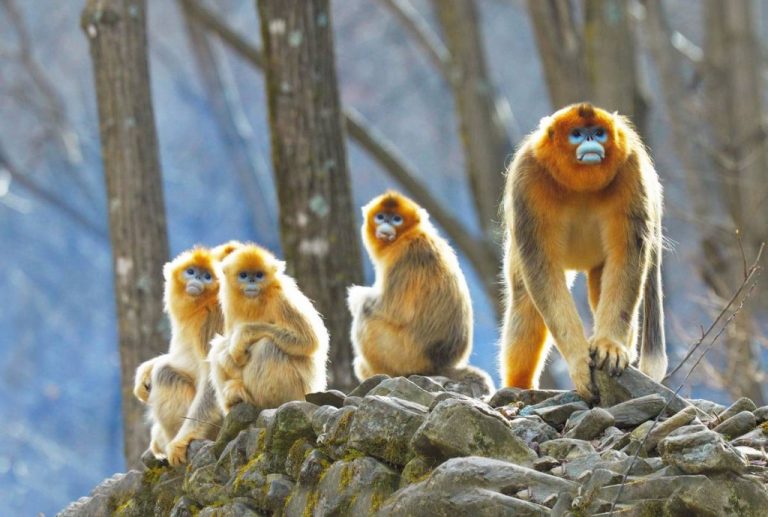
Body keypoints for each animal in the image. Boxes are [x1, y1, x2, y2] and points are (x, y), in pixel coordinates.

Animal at [209, 243, 328, 414]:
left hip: (296, 390)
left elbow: (310, 341)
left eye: (259, 275)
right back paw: (233, 400)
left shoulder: (281, 297)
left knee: (267, 346)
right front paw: (229, 357)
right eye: (244, 275)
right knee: (217, 348)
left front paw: (240, 340)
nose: (252, 280)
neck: (257, 299)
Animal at [347, 191, 494, 393]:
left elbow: (392, 309)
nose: (386, 225)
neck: (407, 235)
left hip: (405, 357)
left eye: (397, 219)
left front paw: (355, 297)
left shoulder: (406, 255)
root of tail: (439, 365)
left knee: (366, 314)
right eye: (381, 217)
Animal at [499, 102, 666, 401]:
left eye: (599, 132)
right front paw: (578, 362)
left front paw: (610, 346)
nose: (590, 140)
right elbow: (541, 271)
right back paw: (518, 385)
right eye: (576, 134)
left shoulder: (631, 169)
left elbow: (627, 256)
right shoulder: (527, 176)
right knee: (525, 301)